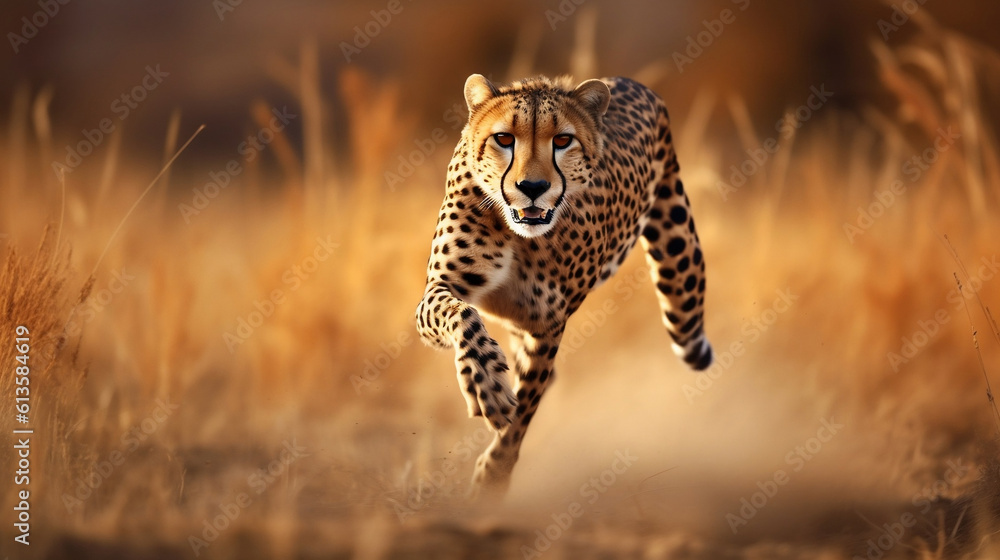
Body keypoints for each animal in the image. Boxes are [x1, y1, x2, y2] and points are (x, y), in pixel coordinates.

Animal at [414, 74, 713, 496]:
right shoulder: (443, 286)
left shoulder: (546, 325)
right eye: (503, 139)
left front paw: (494, 474)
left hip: (681, 285)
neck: (518, 233)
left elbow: (525, 406)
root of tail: (628, 81)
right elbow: (462, 316)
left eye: (562, 140)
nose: (533, 186)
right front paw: (485, 382)